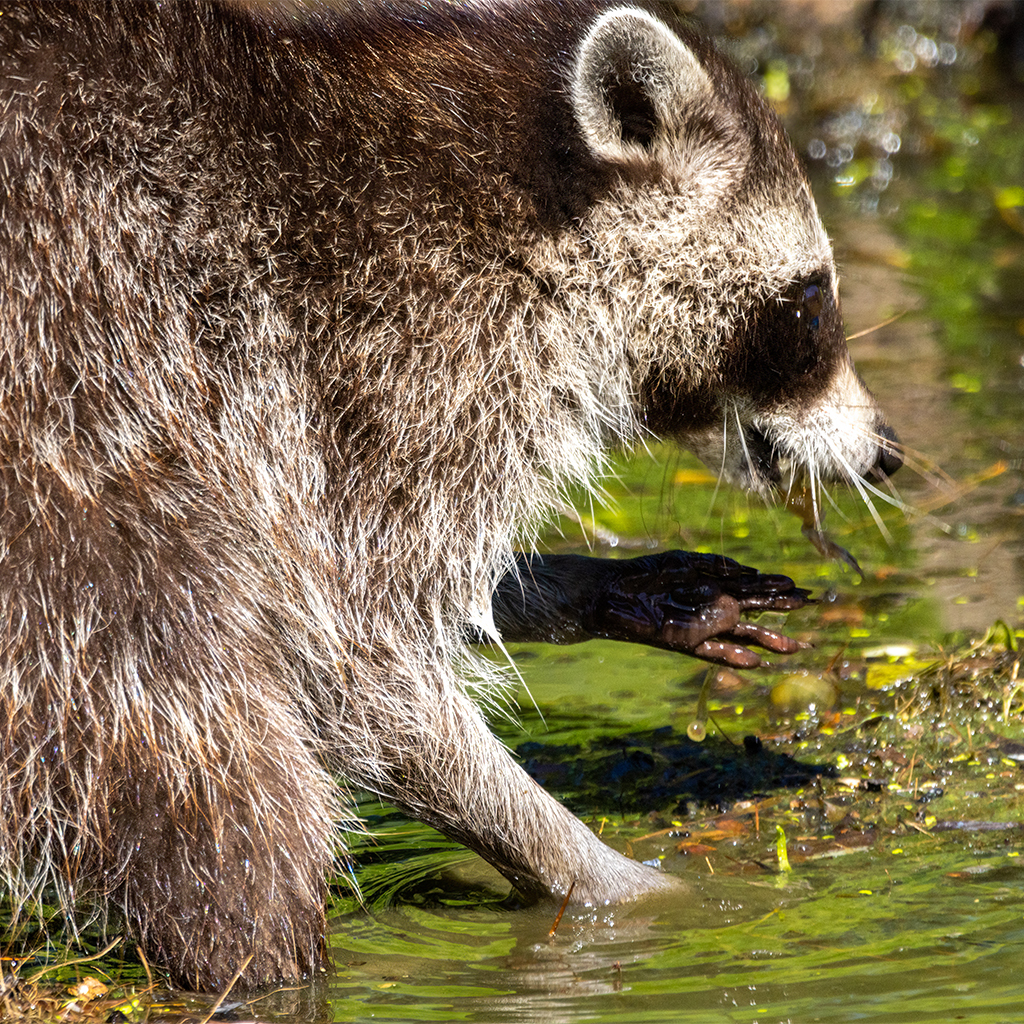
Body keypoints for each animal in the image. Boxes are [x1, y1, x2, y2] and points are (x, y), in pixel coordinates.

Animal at [0, 0, 899, 992]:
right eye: (811, 304)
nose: (887, 453)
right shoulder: (381, 357)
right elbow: (359, 656)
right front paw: (599, 875)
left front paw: (585, 588)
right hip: (70, 463)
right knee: (194, 727)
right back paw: (258, 950)